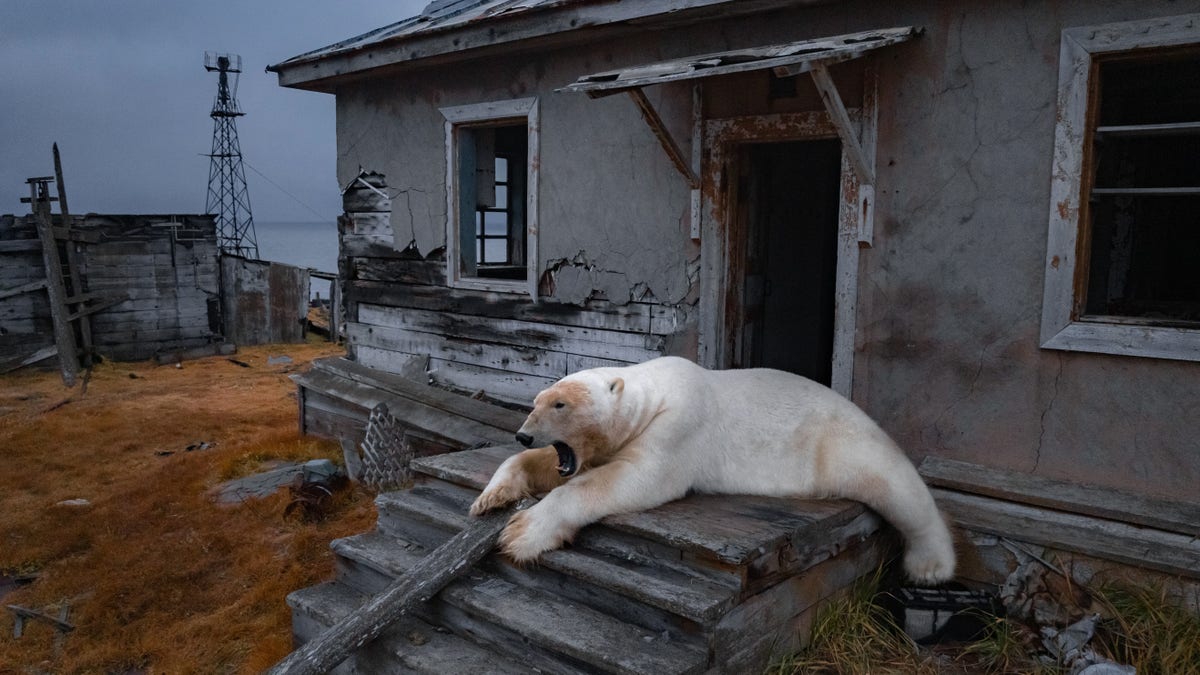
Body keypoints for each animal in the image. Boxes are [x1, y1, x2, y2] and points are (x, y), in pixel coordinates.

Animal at [470, 356, 956, 584]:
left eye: (560, 404)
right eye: (536, 401)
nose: (523, 434)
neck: (654, 394)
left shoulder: (679, 427)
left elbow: (633, 478)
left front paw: (522, 533)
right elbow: (557, 466)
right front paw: (492, 495)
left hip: (841, 443)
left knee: (896, 487)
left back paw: (930, 565)